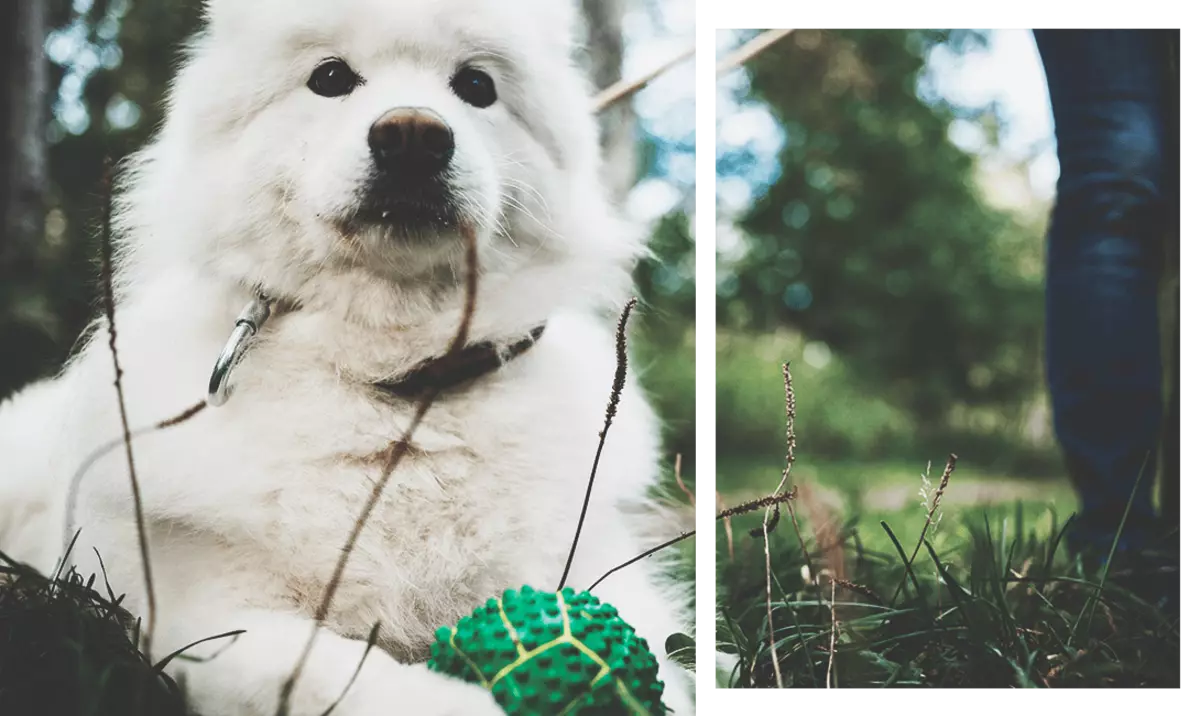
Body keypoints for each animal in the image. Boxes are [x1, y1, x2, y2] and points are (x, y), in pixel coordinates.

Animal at [0, 1, 696, 714]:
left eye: (476, 86)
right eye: (330, 78)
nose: (413, 134)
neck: (394, 387)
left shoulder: (584, 563)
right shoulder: (206, 625)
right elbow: (359, 677)